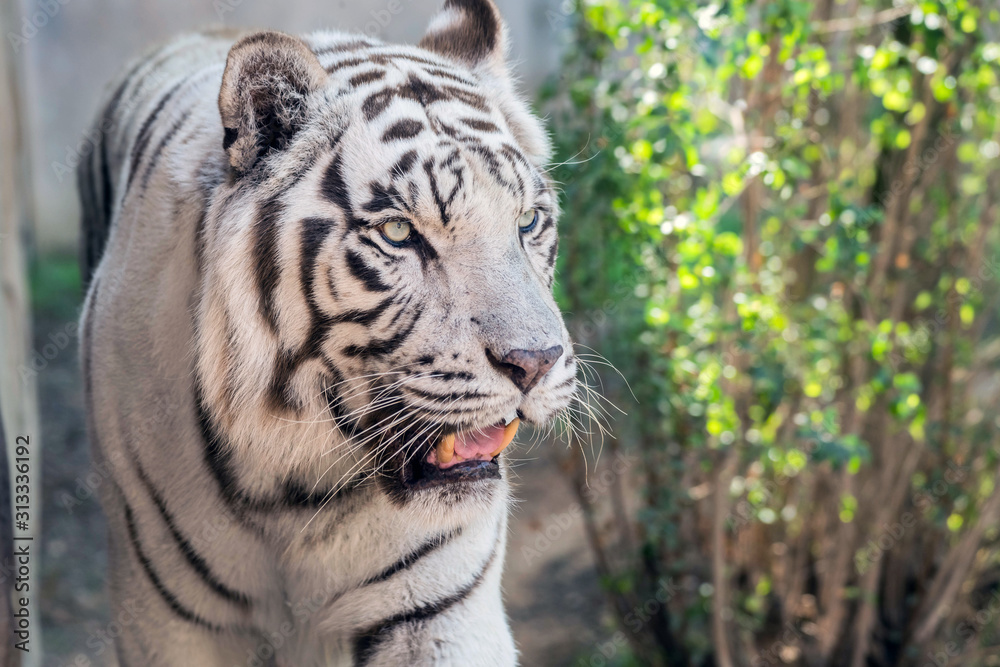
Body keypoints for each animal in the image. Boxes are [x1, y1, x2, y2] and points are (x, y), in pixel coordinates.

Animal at [75, 1, 577, 664]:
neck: (294, 495)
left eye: (528, 221)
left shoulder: (436, 606)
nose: (536, 361)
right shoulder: (164, 623)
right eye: (398, 233)